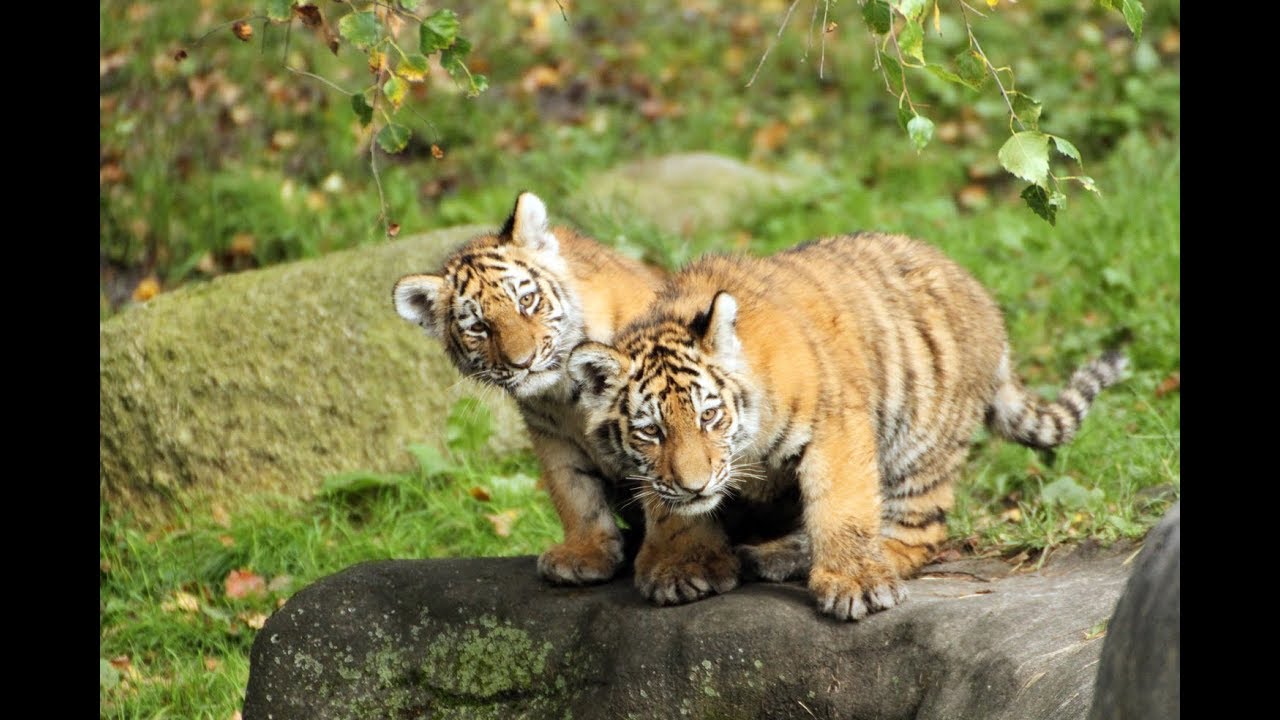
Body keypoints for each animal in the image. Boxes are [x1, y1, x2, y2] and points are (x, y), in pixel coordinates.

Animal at [392, 191, 668, 586]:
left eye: (526, 301)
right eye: (478, 327)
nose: (523, 361)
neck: (567, 395)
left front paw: (671, 564)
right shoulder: (553, 438)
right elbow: (574, 496)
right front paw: (585, 553)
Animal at [567, 231, 1127, 620]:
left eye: (710, 416)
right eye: (651, 432)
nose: (697, 484)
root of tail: (980, 292)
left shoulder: (834, 426)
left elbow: (841, 506)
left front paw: (857, 585)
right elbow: (671, 509)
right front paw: (682, 568)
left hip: (919, 444)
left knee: (921, 530)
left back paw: (871, 559)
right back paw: (775, 554)